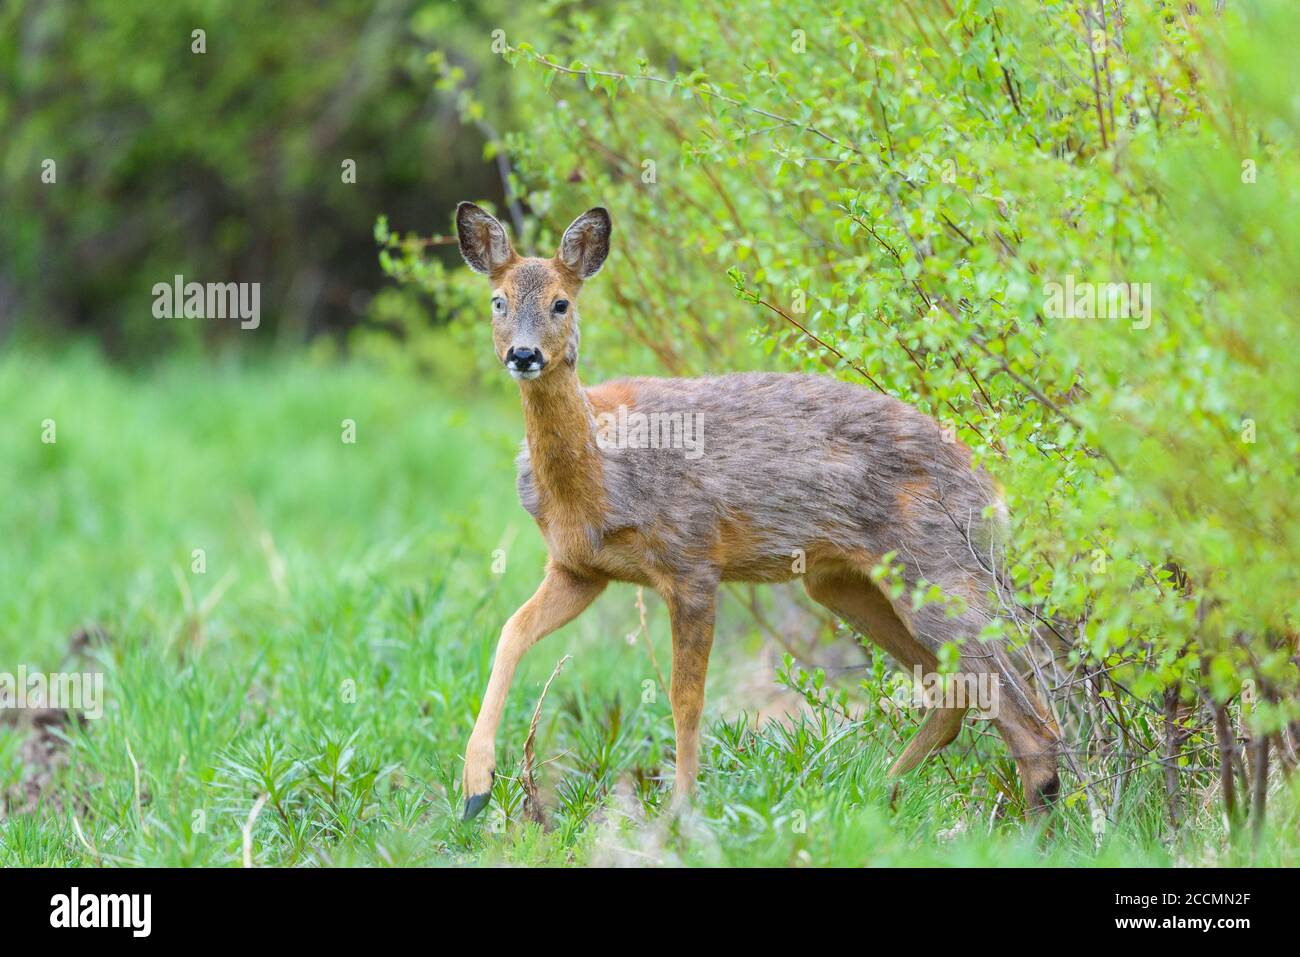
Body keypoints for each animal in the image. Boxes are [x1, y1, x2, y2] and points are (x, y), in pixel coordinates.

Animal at [455, 201, 1061, 822]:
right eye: (498, 300)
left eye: (562, 302)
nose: (523, 354)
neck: (599, 474)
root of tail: (995, 492)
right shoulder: (579, 569)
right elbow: (510, 631)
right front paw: (476, 786)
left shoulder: (693, 560)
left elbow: (686, 697)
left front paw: (682, 810)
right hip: (843, 583)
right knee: (954, 689)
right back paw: (876, 795)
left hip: (940, 568)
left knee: (1027, 714)